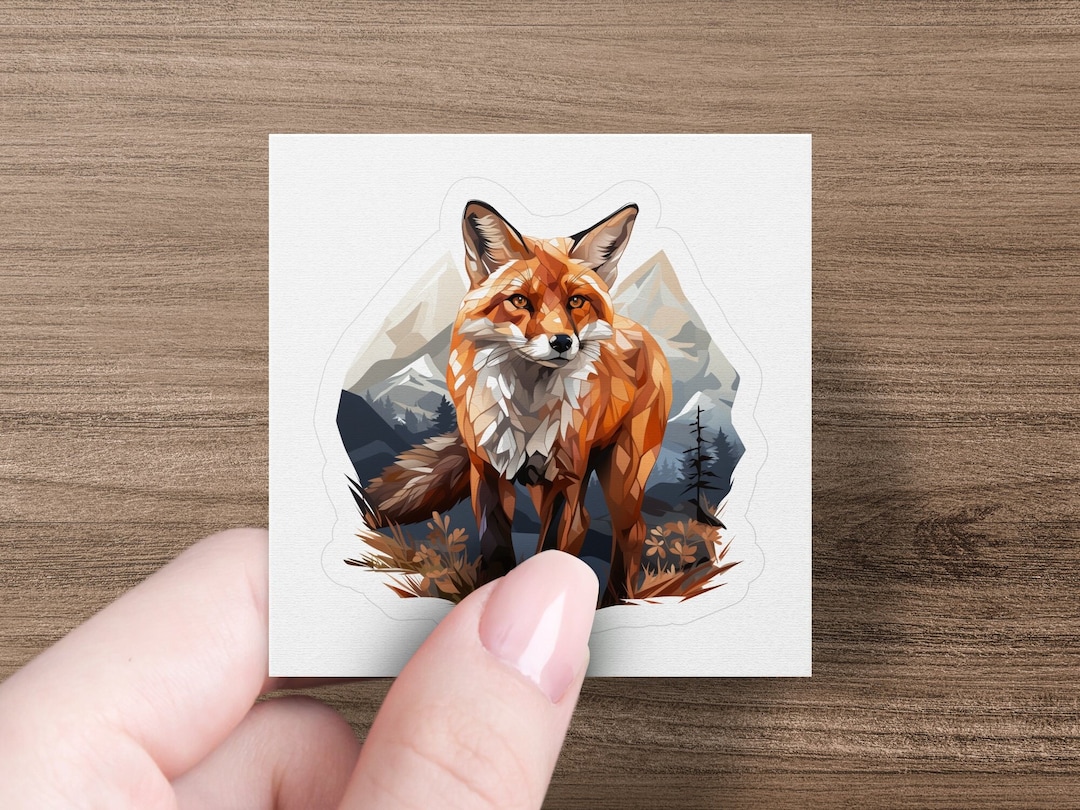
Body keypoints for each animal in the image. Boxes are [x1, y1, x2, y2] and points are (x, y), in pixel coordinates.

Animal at [366, 201, 672, 603]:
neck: (529, 410)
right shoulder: (488, 473)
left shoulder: (566, 478)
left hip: (622, 477)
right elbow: (496, 546)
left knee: (631, 531)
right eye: (520, 300)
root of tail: (642, 332)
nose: (562, 342)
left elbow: (552, 551)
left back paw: (616, 600)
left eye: (576, 301)